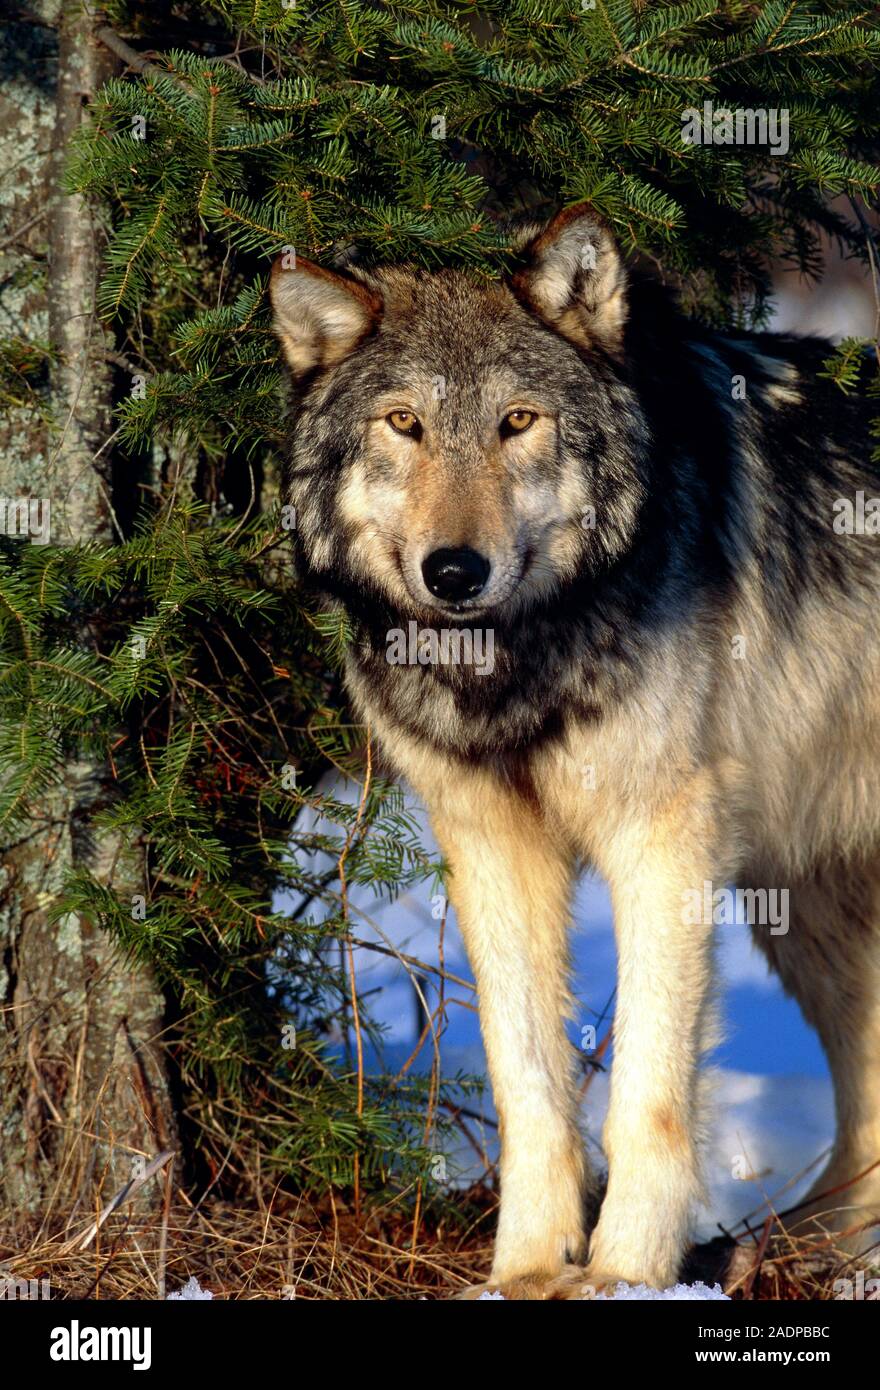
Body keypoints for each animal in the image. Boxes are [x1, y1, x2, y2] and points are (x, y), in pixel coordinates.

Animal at [271, 204, 880, 1298]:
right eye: (404, 425)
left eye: (517, 422)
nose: (454, 570)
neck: (515, 668)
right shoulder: (489, 848)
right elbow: (527, 1082)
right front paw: (524, 1266)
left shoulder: (661, 842)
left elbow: (647, 1091)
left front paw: (626, 1270)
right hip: (804, 897)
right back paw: (799, 1246)